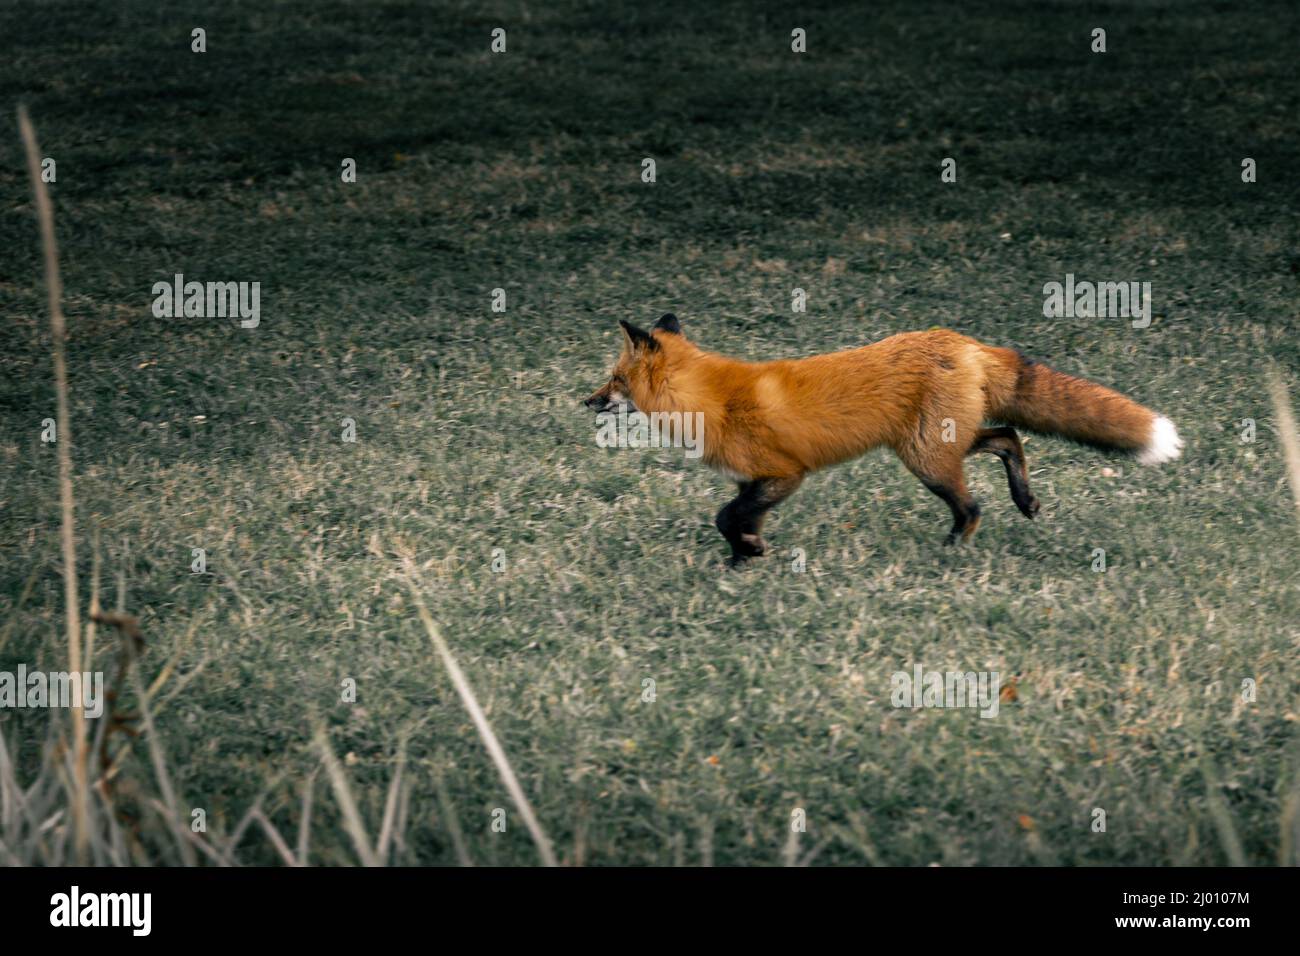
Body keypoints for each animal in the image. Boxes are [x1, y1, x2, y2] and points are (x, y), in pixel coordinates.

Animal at [584, 314, 1183, 566]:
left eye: (614, 380)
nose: (587, 402)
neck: (713, 397)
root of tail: (962, 341)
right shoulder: (755, 482)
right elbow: (736, 519)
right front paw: (744, 558)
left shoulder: (783, 474)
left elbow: (725, 518)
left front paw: (745, 554)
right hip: (941, 444)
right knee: (1010, 437)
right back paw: (1025, 499)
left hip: (927, 460)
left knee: (973, 505)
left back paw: (954, 550)